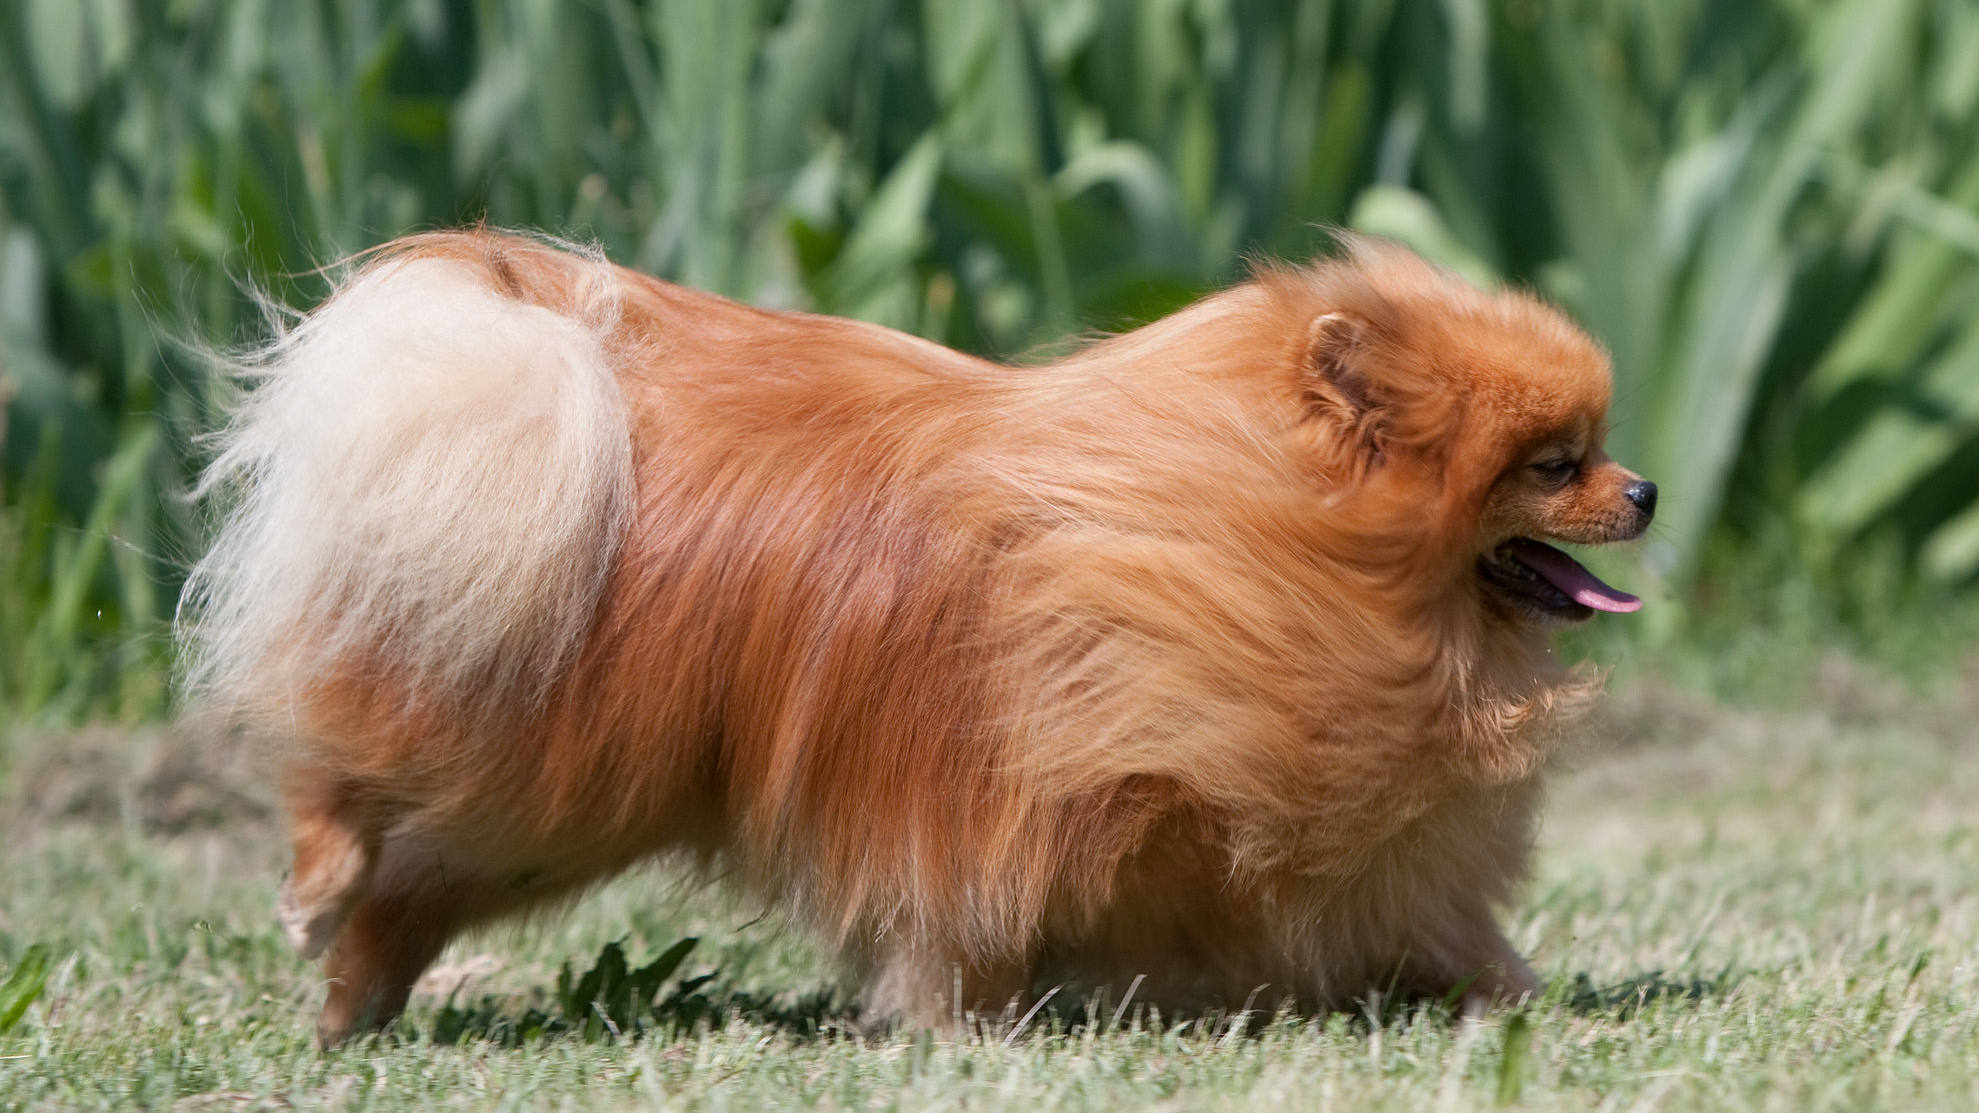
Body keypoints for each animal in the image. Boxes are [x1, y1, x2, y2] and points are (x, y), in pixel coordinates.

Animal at [182, 229, 1654, 1045]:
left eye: (1593, 448)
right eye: (1551, 464)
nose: (1641, 488)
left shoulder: (1352, 841)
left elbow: (1448, 929)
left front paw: (1516, 1000)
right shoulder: (984, 805)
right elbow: (959, 923)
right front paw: (959, 1036)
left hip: (551, 809)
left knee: (417, 885)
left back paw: (350, 1010)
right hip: (525, 752)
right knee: (349, 799)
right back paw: (317, 894)